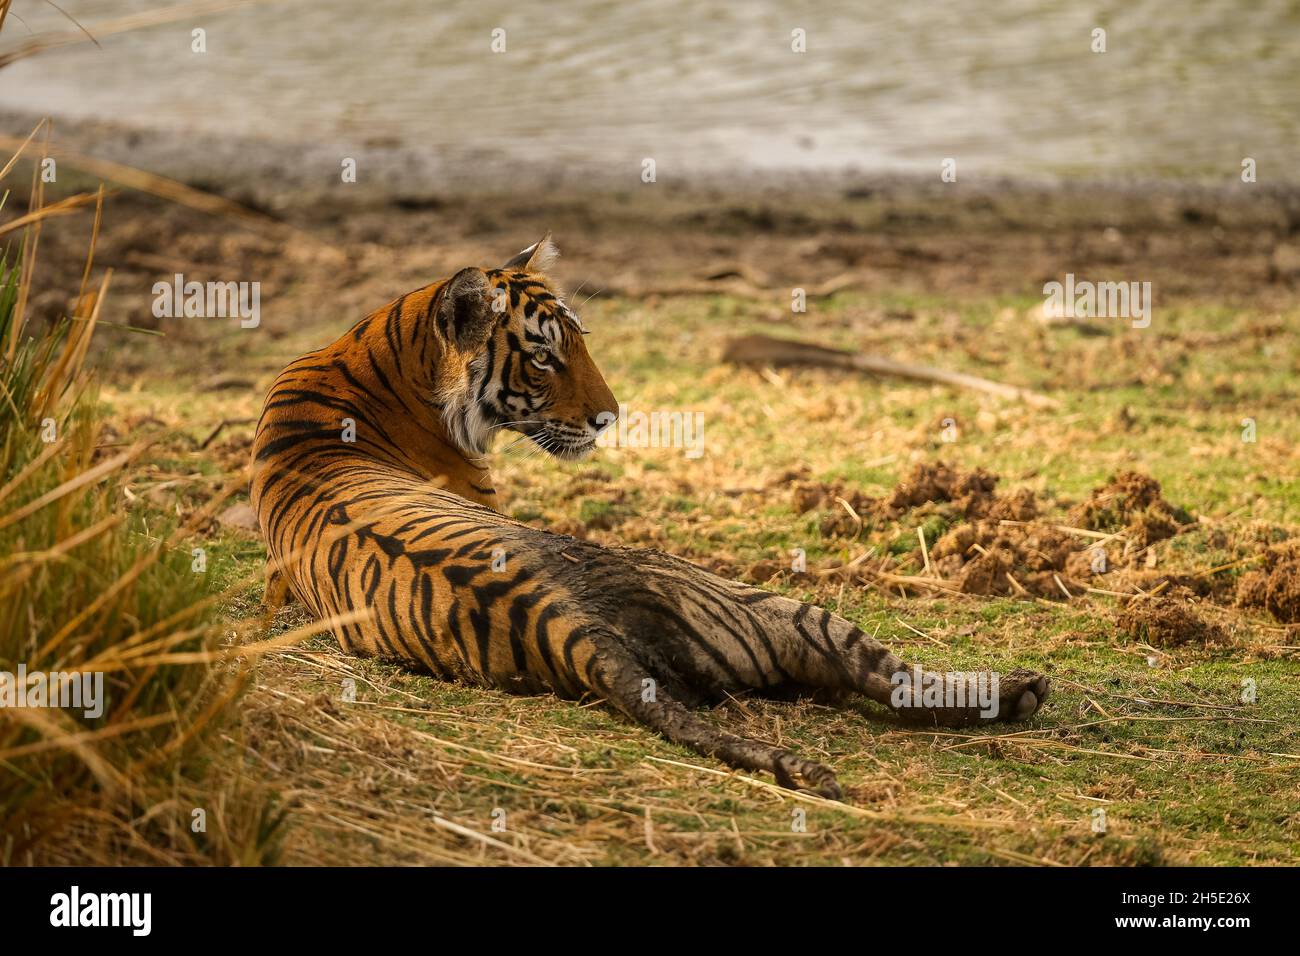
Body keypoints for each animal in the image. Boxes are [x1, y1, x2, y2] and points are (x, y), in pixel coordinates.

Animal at [250, 235, 1049, 800]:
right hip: (765, 601)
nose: (612, 416)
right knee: (893, 679)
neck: (375, 357)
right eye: (543, 358)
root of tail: (556, 617)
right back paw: (1019, 690)